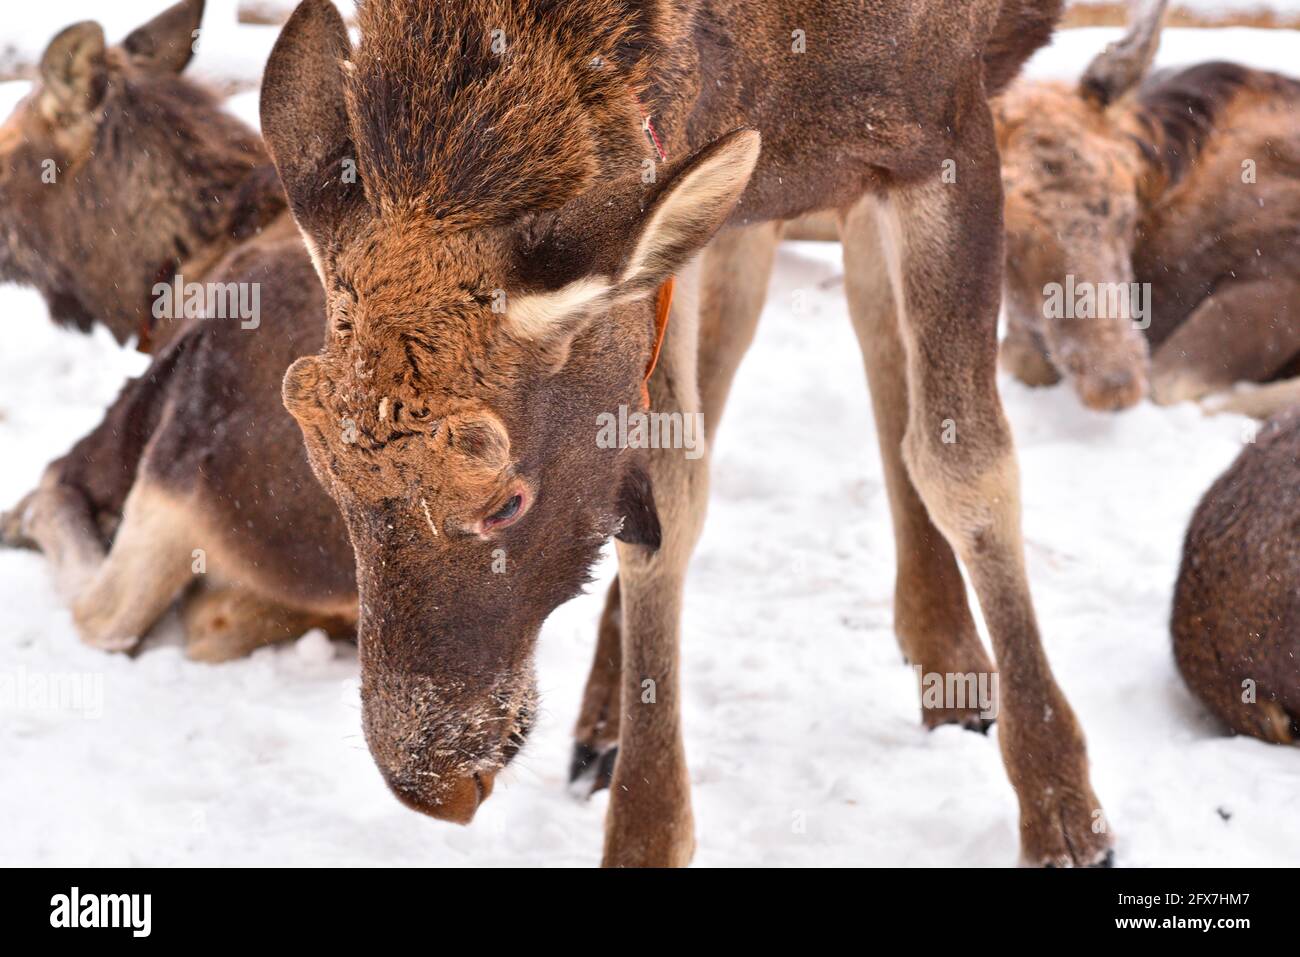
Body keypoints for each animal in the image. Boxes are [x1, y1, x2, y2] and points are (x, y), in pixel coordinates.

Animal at [258, 0, 1114, 867]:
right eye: (327, 477)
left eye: (506, 501)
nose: (429, 784)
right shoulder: (693, 186)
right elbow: (665, 501)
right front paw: (646, 827)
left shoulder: (945, 124)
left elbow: (966, 466)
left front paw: (1065, 810)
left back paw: (953, 664)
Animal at [996, 0, 1300, 414]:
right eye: (1008, 237)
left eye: (1126, 214)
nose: (1115, 384)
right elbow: (1016, 357)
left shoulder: (1281, 270)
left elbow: (1166, 386)